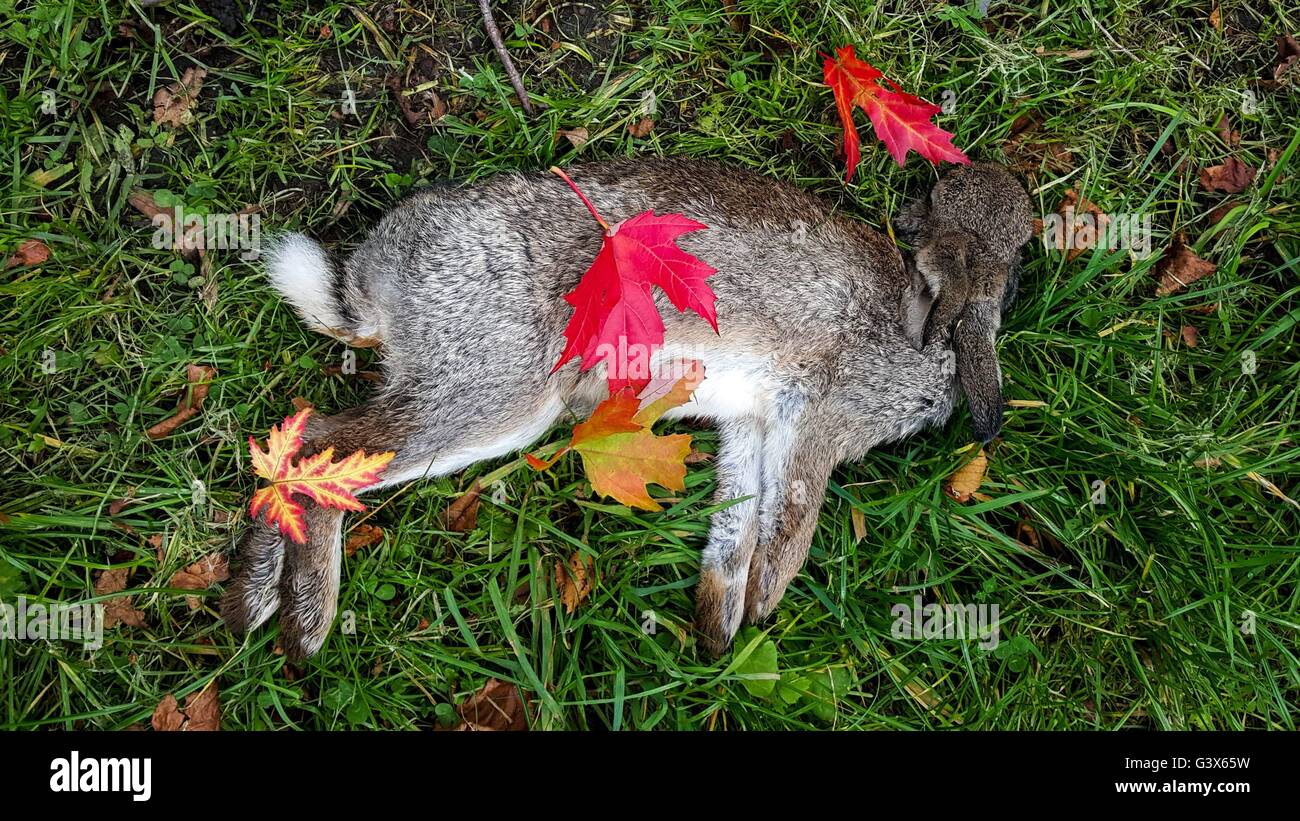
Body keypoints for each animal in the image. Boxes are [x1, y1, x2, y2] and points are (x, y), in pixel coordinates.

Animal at [220, 158, 1033, 659]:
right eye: (1006, 267)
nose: (985, 415)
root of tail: (373, 289)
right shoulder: (817, 415)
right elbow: (792, 523)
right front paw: (762, 609)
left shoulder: (752, 424)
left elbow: (736, 528)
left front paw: (718, 627)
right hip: (500, 389)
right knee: (325, 446)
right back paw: (306, 627)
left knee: (307, 445)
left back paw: (251, 602)